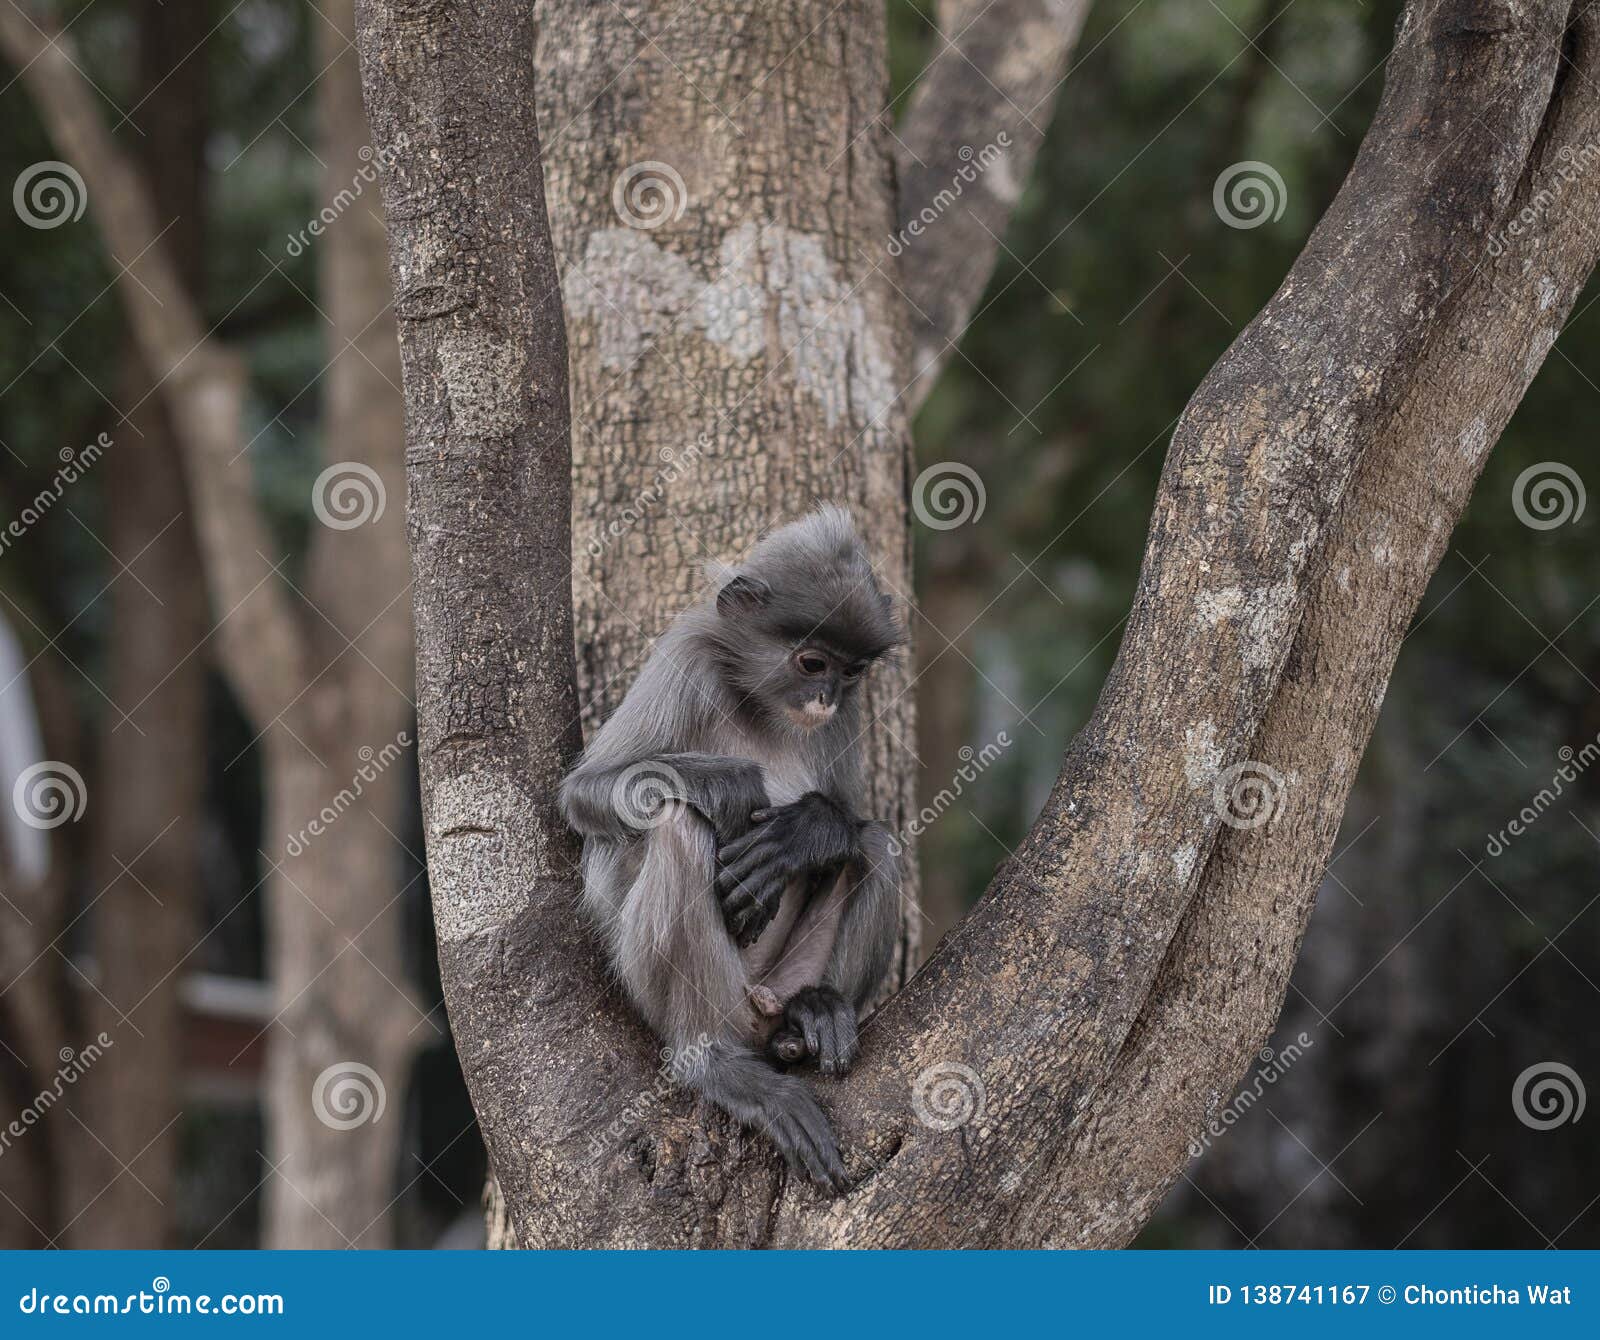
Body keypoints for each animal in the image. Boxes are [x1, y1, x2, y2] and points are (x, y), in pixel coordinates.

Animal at [557, 506, 905, 1191]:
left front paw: (809, 832)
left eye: (849, 671)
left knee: (876, 843)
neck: (760, 705)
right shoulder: (687, 659)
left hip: (785, 972)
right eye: (812, 664)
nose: (826, 699)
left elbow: (849, 815)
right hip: (687, 991)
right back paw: (714, 1062)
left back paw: (811, 1015)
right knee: (678, 825)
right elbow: (581, 796)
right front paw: (723, 783)